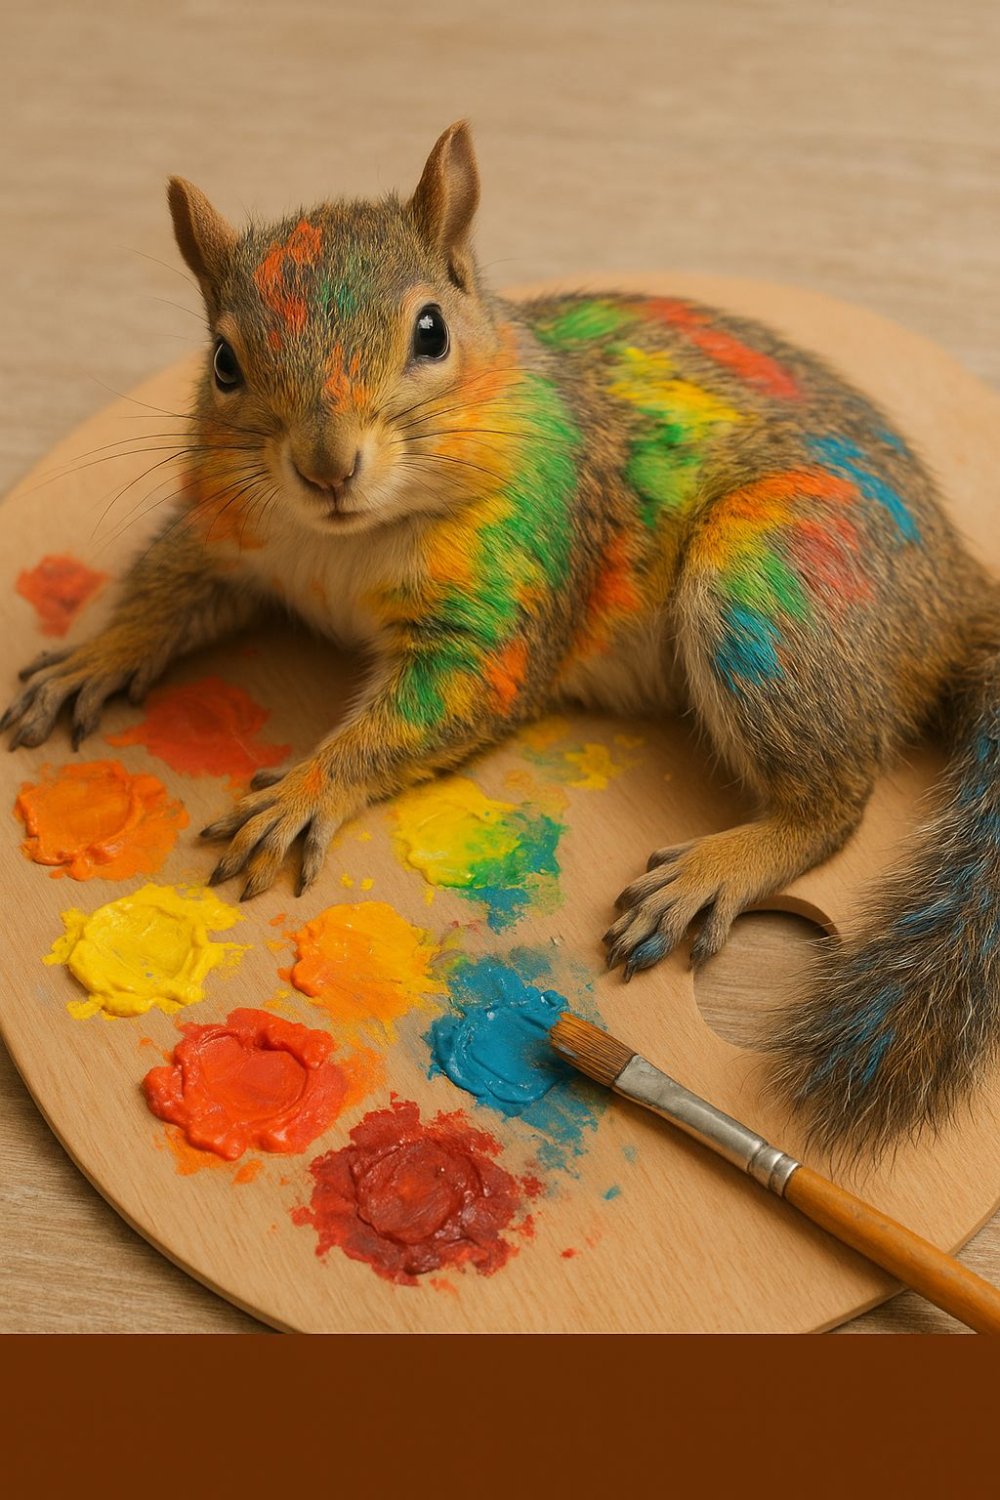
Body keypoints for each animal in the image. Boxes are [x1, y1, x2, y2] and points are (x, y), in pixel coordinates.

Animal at [6, 120, 1000, 1157]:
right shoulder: (227, 533)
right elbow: (163, 593)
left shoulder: (507, 591)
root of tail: (950, 597)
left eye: (431, 331)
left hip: (772, 577)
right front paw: (92, 657)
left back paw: (719, 867)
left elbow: (438, 703)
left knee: (834, 807)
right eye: (223, 362)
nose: (326, 466)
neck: (343, 542)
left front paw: (307, 790)